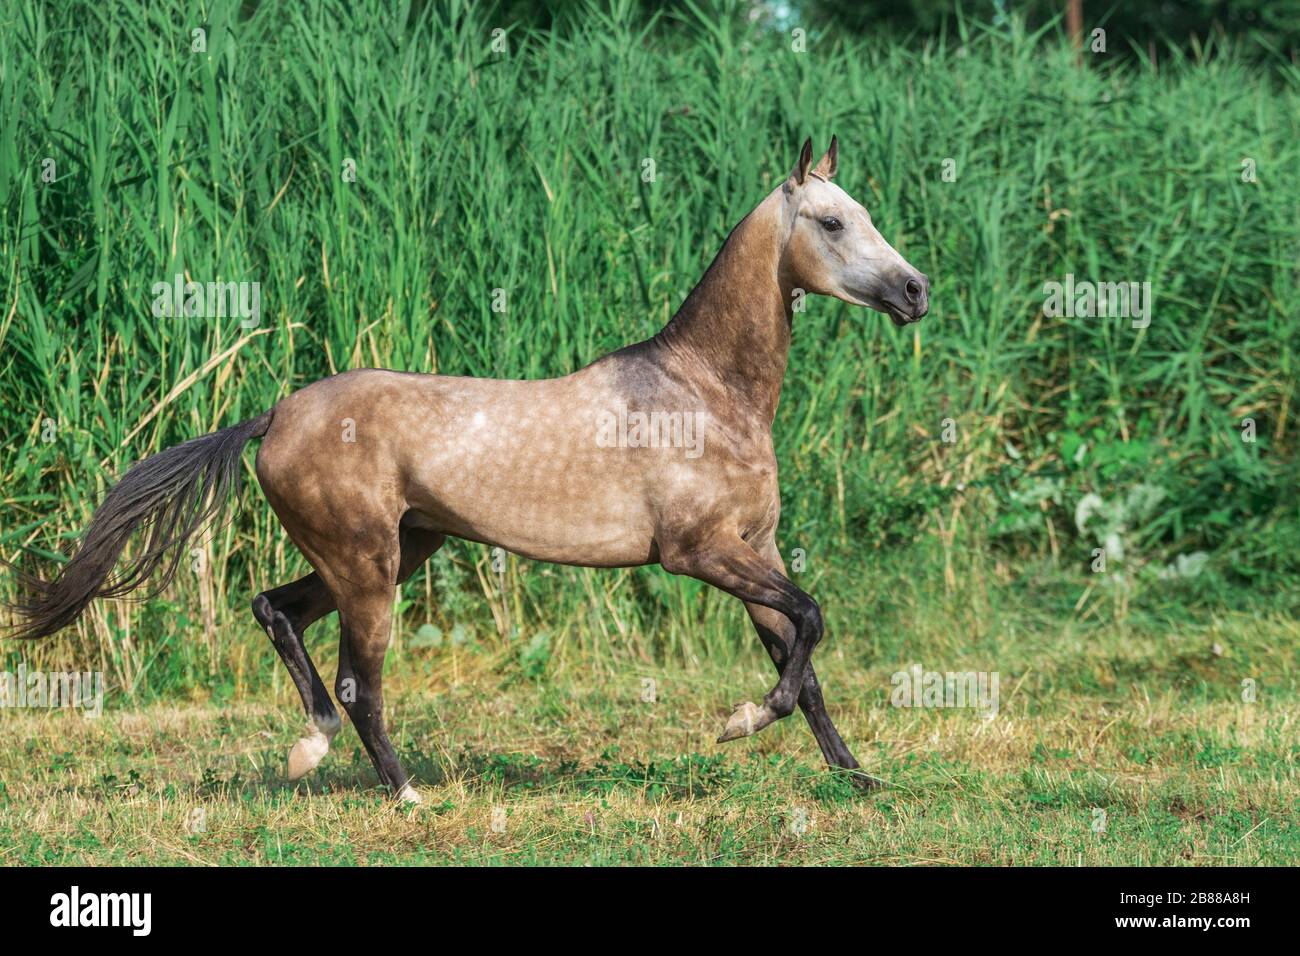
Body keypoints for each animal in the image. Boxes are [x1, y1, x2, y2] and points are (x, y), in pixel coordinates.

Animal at [8, 137, 929, 802]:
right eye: (833, 222)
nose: (916, 290)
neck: (700, 392)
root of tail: (274, 415)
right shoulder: (698, 553)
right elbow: (809, 624)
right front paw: (740, 722)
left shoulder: (755, 550)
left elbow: (804, 663)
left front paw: (859, 779)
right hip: (367, 567)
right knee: (357, 682)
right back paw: (404, 792)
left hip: (394, 552)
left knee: (277, 612)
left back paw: (311, 750)